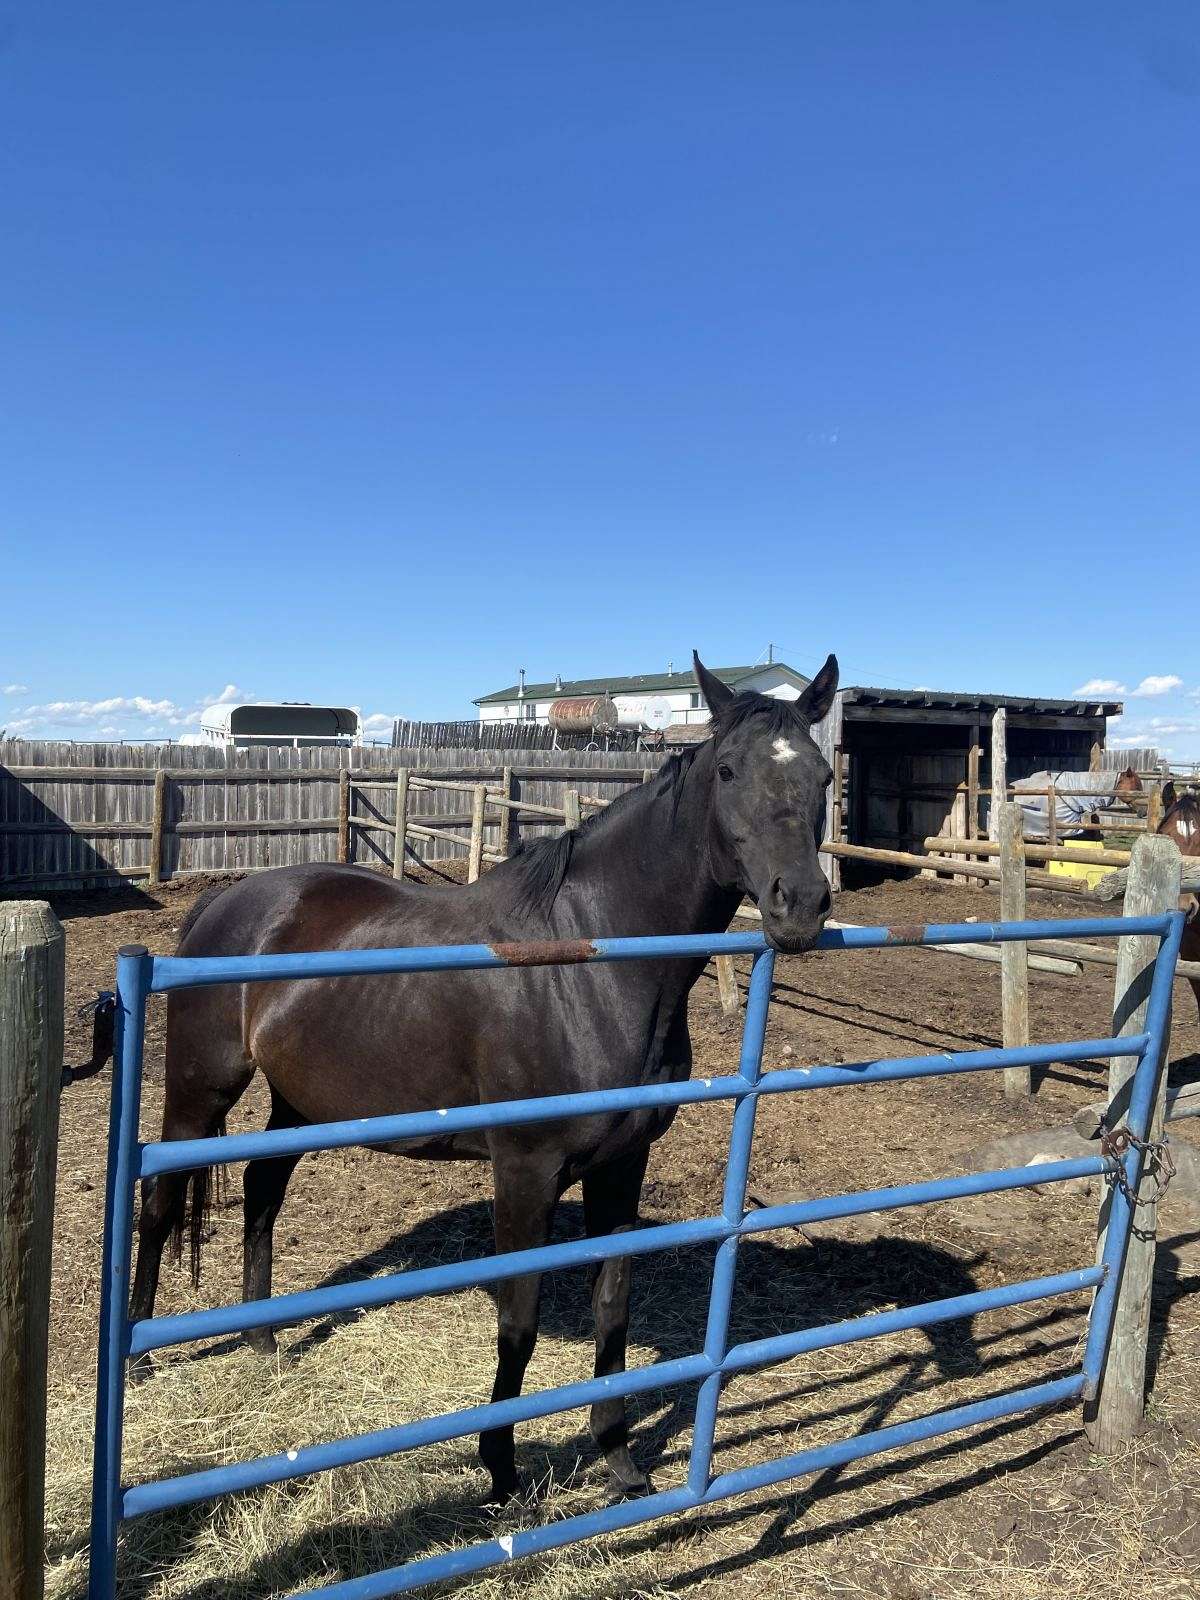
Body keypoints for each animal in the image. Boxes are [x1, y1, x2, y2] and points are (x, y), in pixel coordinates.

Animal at [128, 651, 839, 1501]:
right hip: (197, 1093)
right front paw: (499, 1469)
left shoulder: (623, 1165)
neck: (592, 963)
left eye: (824, 775)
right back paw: (138, 1364)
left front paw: (618, 1458)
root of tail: (224, 902)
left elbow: (613, 1306)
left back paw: (264, 1343)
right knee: (158, 1206)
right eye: (729, 769)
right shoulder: (525, 1170)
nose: (800, 906)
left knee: (263, 1191)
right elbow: (518, 1324)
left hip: (298, 1101)